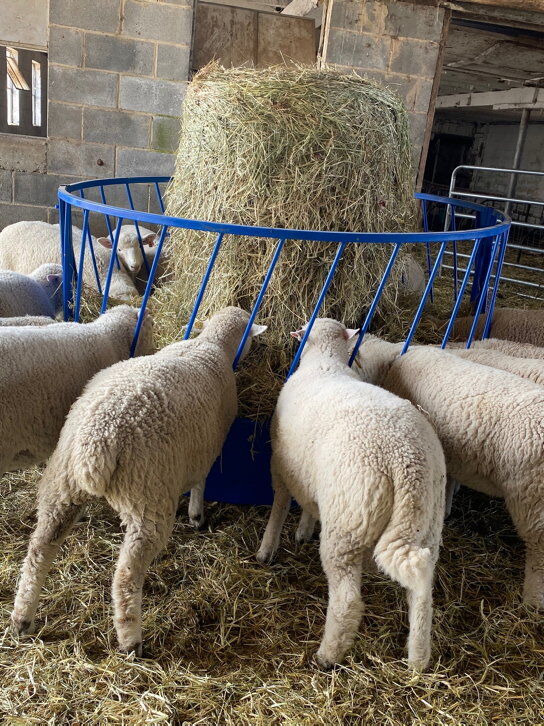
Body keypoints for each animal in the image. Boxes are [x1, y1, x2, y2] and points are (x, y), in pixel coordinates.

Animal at [257, 319, 446, 670]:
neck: (324, 361)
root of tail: (405, 459)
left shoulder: (280, 463)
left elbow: (280, 503)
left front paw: (267, 547)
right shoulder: (311, 474)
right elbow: (309, 503)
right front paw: (303, 529)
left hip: (348, 520)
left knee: (347, 600)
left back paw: (327, 655)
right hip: (425, 522)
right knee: (420, 584)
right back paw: (418, 656)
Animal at [357, 336, 544, 608]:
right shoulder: (451, 452)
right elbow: (447, 484)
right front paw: (446, 509)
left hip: (532, 496)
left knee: (539, 550)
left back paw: (532, 601)